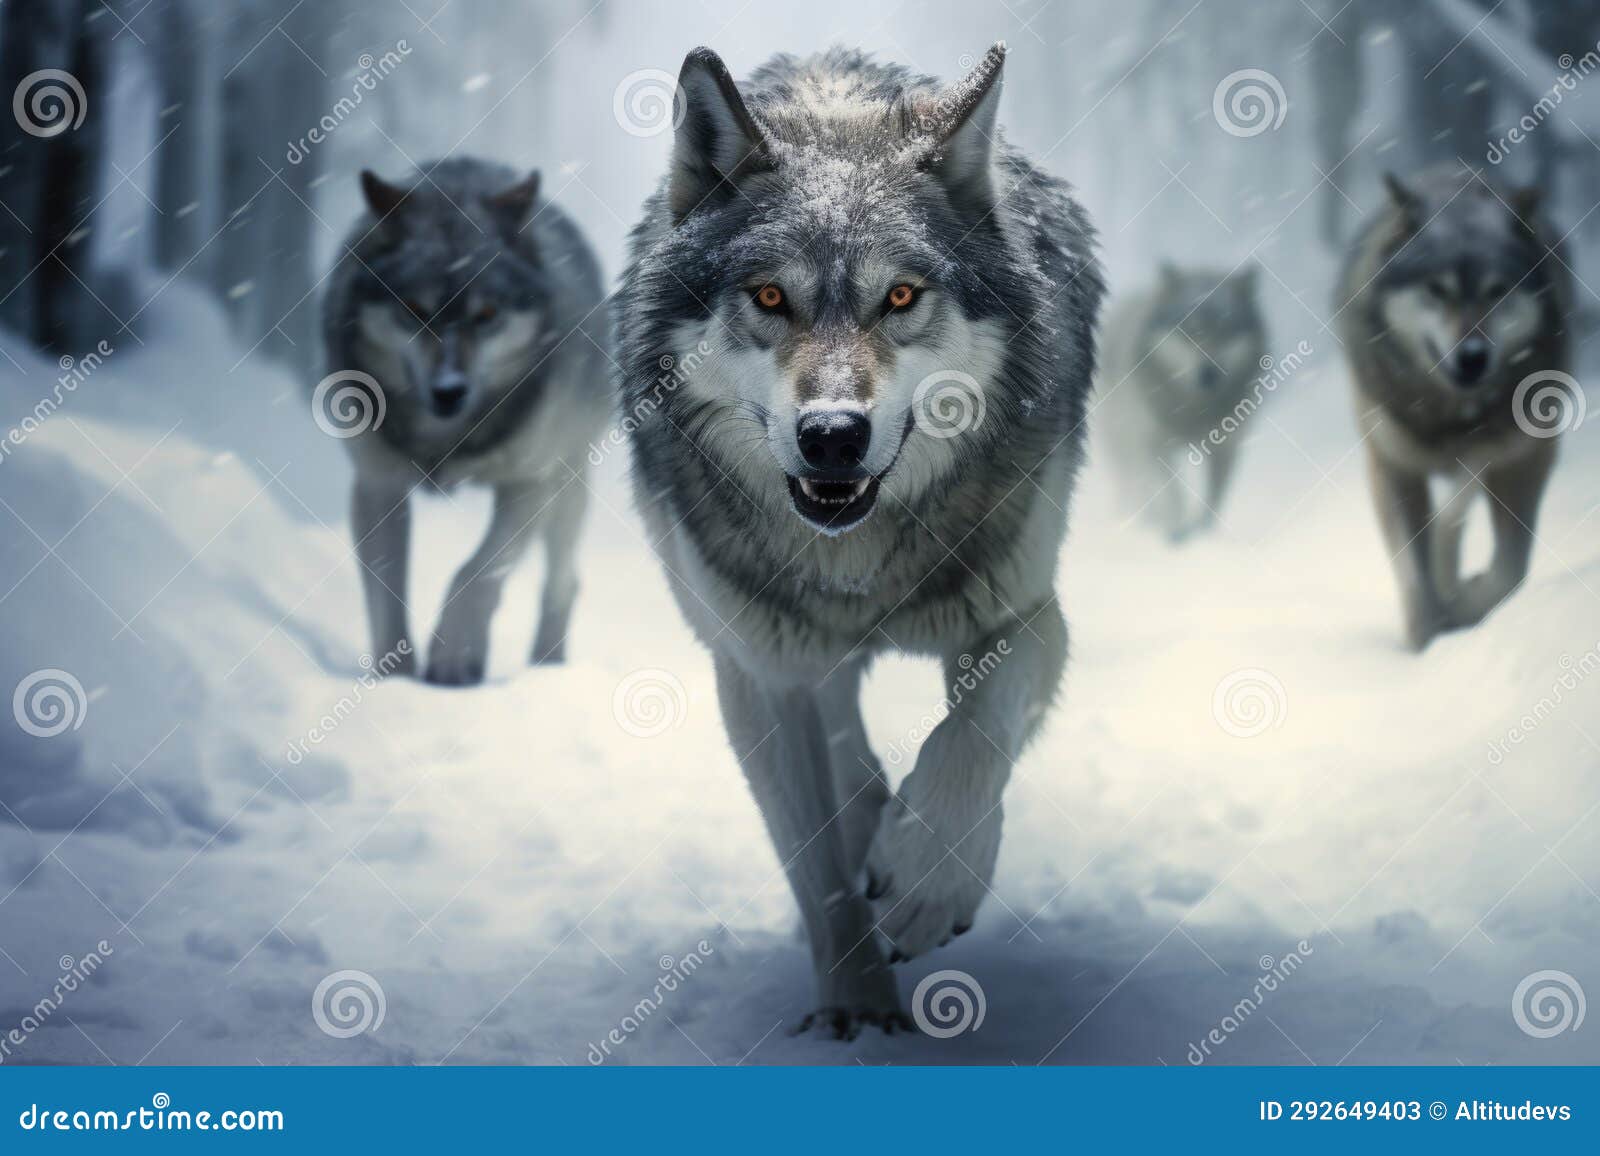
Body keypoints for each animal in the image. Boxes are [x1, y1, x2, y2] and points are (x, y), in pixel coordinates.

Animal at [321, 158, 609, 683]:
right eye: (414, 309)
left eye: (487, 313)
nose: (449, 390)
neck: (447, 440)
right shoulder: (378, 485)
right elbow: (386, 593)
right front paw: (396, 677)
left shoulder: (529, 483)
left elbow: (475, 573)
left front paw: (454, 658)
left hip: (569, 482)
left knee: (565, 581)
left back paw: (548, 664)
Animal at [614, 44, 1103, 1035]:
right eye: (770, 296)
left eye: (901, 296)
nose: (832, 435)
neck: (859, 567)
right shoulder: (762, 675)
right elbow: (816, 865)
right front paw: (856, 1014)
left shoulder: (1024, 614)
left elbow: (973, 739)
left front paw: (927, 887)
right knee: (848, 753)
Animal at [1097, 263, 1266, 541]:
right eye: (1189, 333)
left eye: (1227, 333)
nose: (1208, 374)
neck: (1195, 409)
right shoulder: (1153, 447)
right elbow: (1174, 493)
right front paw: (1175, 530)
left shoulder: (1227, 449)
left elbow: (1212, 501)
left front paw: (1203, 535)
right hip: (1125, 445)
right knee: (1134, 484)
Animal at [1337, 166, 1571, 651]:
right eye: (1437, 289)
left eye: (1497, 291)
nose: (1473, 356)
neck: (1450, 415)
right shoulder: (1392, 465)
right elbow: (1414, 573)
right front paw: (1425, 637)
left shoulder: (1524, 459)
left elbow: (1509, 569)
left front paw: (1466, 604)